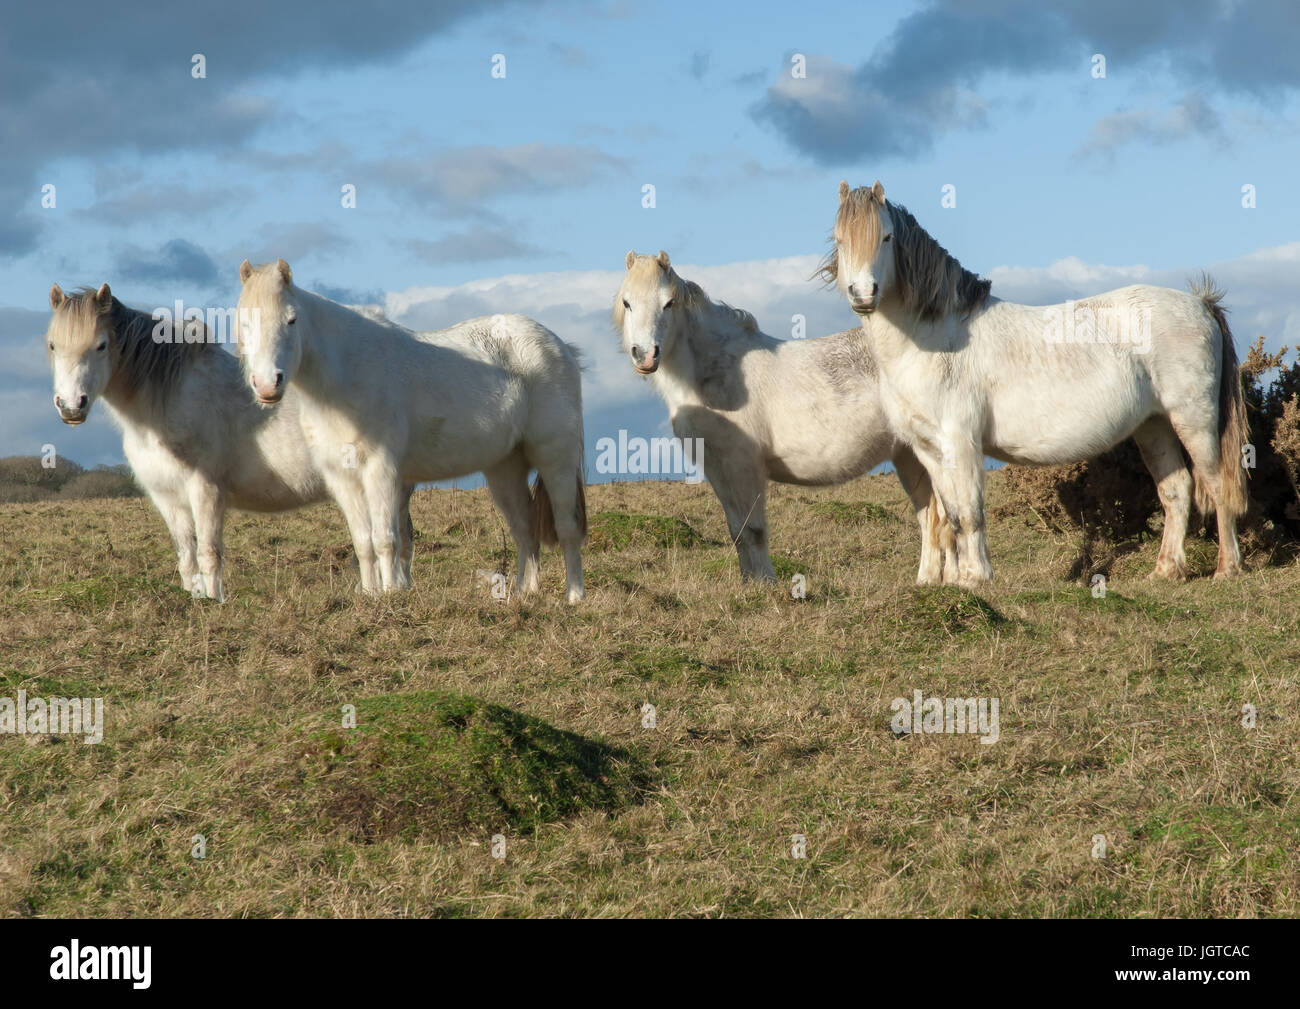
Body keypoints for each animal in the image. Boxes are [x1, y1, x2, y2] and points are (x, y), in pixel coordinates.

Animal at [40, 283, 404, 601]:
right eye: (53, 345)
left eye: (101, 345)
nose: (71, 406)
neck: (166, 401)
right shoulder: (168, 499)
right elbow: (186, 556)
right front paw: (194, 598)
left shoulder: (206, 490)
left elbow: (208, 552)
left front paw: (214, 601)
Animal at [235, 258, 588, 603]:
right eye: (245, 323)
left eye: (292, 320)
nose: (267, 384)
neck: (345, 374)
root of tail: (560, 347)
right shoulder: (342, 477)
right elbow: (363, 542)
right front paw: (370, 595)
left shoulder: (381, 470)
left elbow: (385, 538)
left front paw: (391, 594)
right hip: (505, 467)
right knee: (524, 529)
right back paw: (526, 593)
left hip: (555, 458)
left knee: (566, 527)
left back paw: (574, 596)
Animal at [614, 250, 957, 584]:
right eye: (627, 302)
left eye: (668, 303)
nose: (646, 355)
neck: (716, 372)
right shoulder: (717, 468)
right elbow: (737, 530)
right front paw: (748, 585)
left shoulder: (744, 466)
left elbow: (754, 530)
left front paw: (766, 585)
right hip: (909, 456)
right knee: (930, 516)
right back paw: (927, 583)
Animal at [822, 180, 1248, 586]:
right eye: (840, 240)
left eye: (886, 237)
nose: (863, 294)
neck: (937, 338)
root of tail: (1200, 303)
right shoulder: (930, 450)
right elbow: (952, 517)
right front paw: (957, 580)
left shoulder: (961, 441)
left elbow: (971, 513)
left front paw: (976, 578)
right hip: (1153, 425)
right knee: (1176, 491)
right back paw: (1165, 571)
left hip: (1193, 420)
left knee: (1217, 484)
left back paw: (1227, 569)